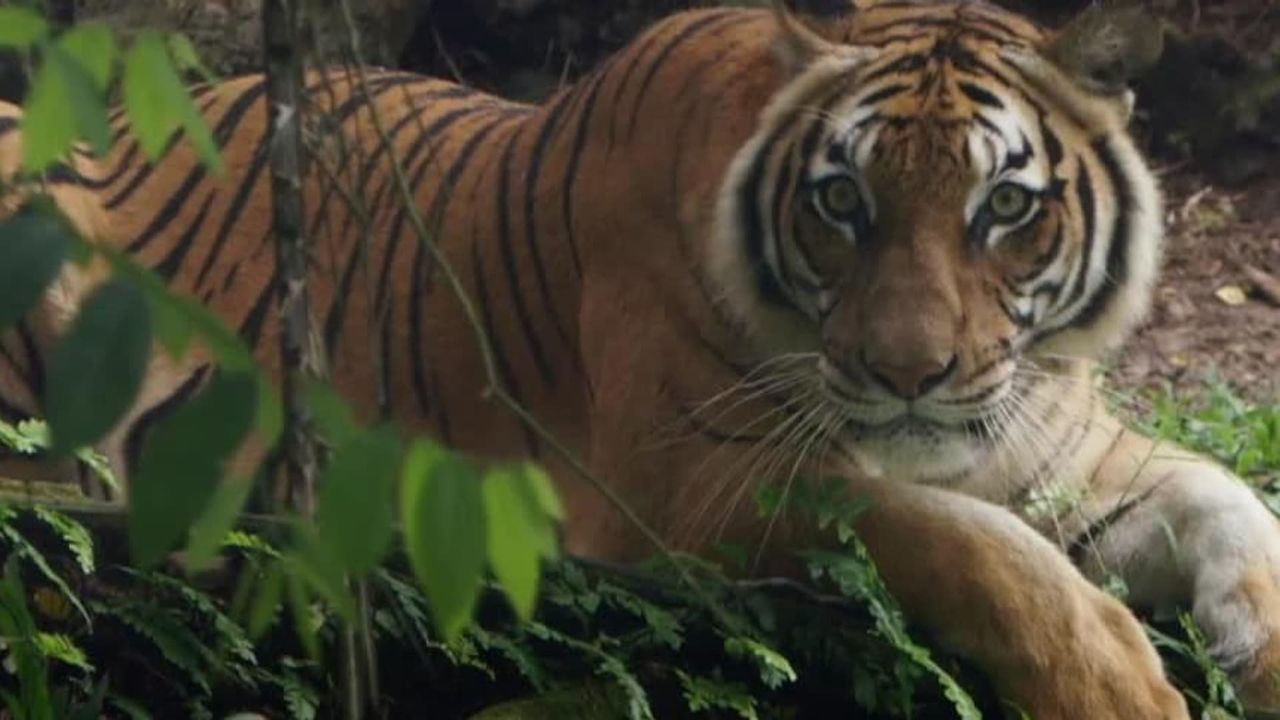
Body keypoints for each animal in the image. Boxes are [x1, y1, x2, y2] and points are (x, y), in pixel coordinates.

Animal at [1, 0, 1278, 716]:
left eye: (1002, 208)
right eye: (841, 203)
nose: (908, 372)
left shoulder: (1069, 455)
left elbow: (1230, 502)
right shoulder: (692, 486)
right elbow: (967, 546)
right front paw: (1123, 692)